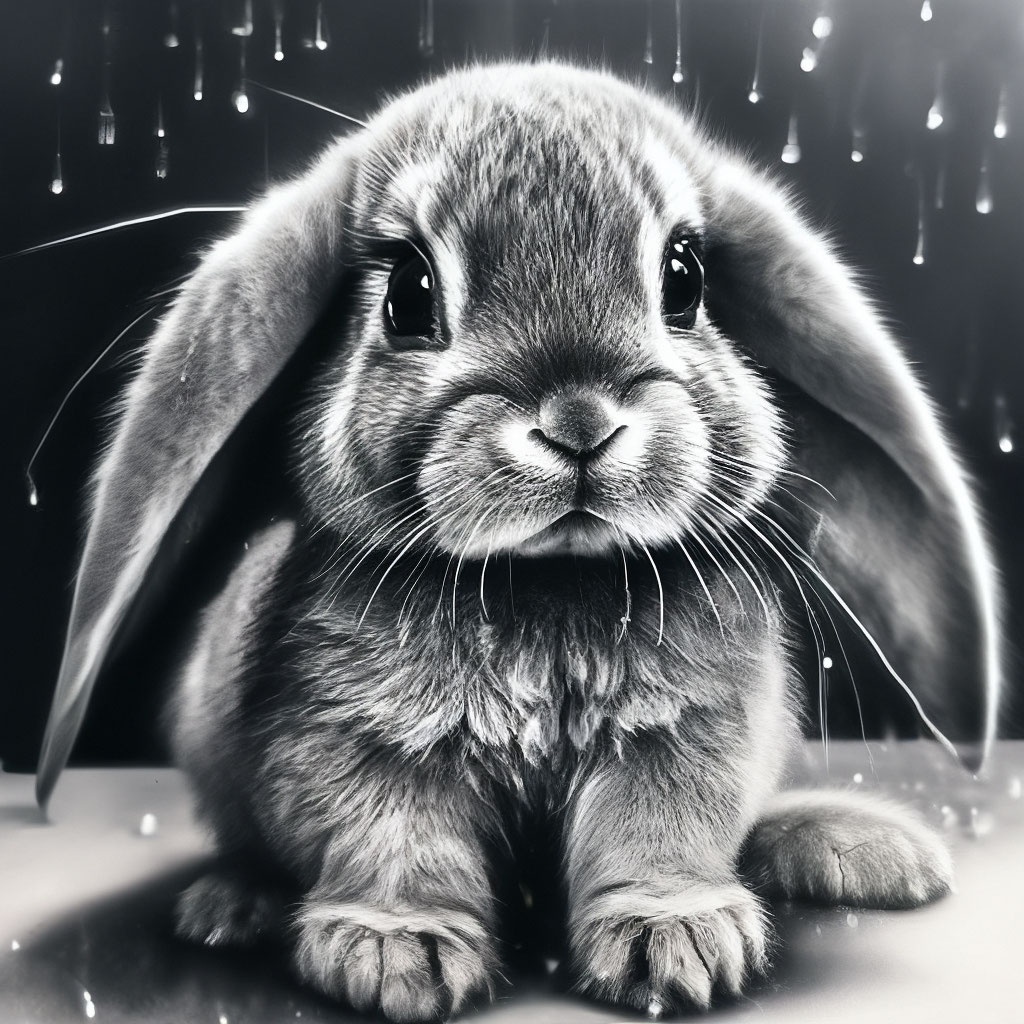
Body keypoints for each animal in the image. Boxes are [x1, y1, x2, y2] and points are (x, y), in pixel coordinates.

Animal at [36, 62, 1001, 1021]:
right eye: (409, 293)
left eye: (683, 278)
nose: (579, 422)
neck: (545, 582)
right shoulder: (359, 743)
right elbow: (395, 838)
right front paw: (398, 956)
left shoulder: (684, 737)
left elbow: (659, 830)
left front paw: (675, 943)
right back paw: (234, 907)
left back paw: (866, 851)